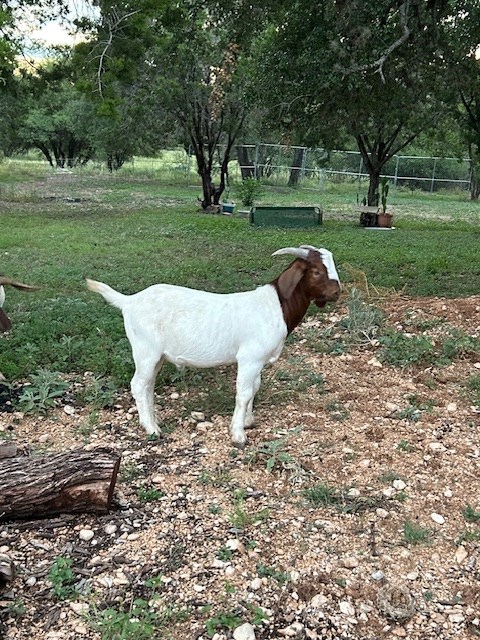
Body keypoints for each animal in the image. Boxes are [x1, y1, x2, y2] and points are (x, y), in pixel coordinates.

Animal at [86, 245, 340, 447]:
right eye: (317, 271)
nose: (337, 292)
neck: (276, 306)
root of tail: (129, 301)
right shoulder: (250, 357)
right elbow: (244, 393)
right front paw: (238, 434)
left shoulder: (257, 361)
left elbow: (254, 388)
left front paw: (248, 421)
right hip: (145, 350)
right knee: (138, 385)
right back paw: (151, 429)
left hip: (156, 356)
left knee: (148, 385)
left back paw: (153, 420)